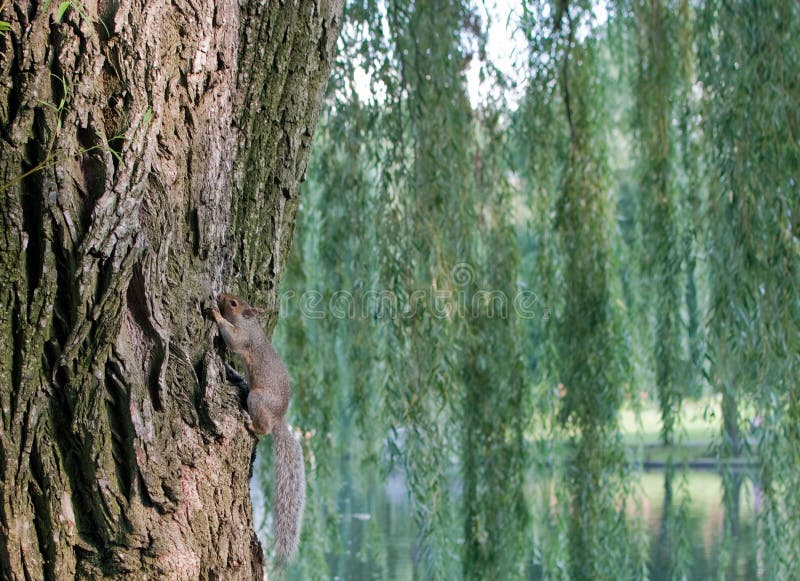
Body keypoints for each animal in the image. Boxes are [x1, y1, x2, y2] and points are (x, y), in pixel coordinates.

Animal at [208, 292, 306, 564]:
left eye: (233, 303)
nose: (221, 295)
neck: (250, 323)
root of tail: (278, 418)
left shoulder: (243, 338)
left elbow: (232, 339)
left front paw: (216, 314)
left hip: (257, 400)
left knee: (264, 430)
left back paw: (251, 423)